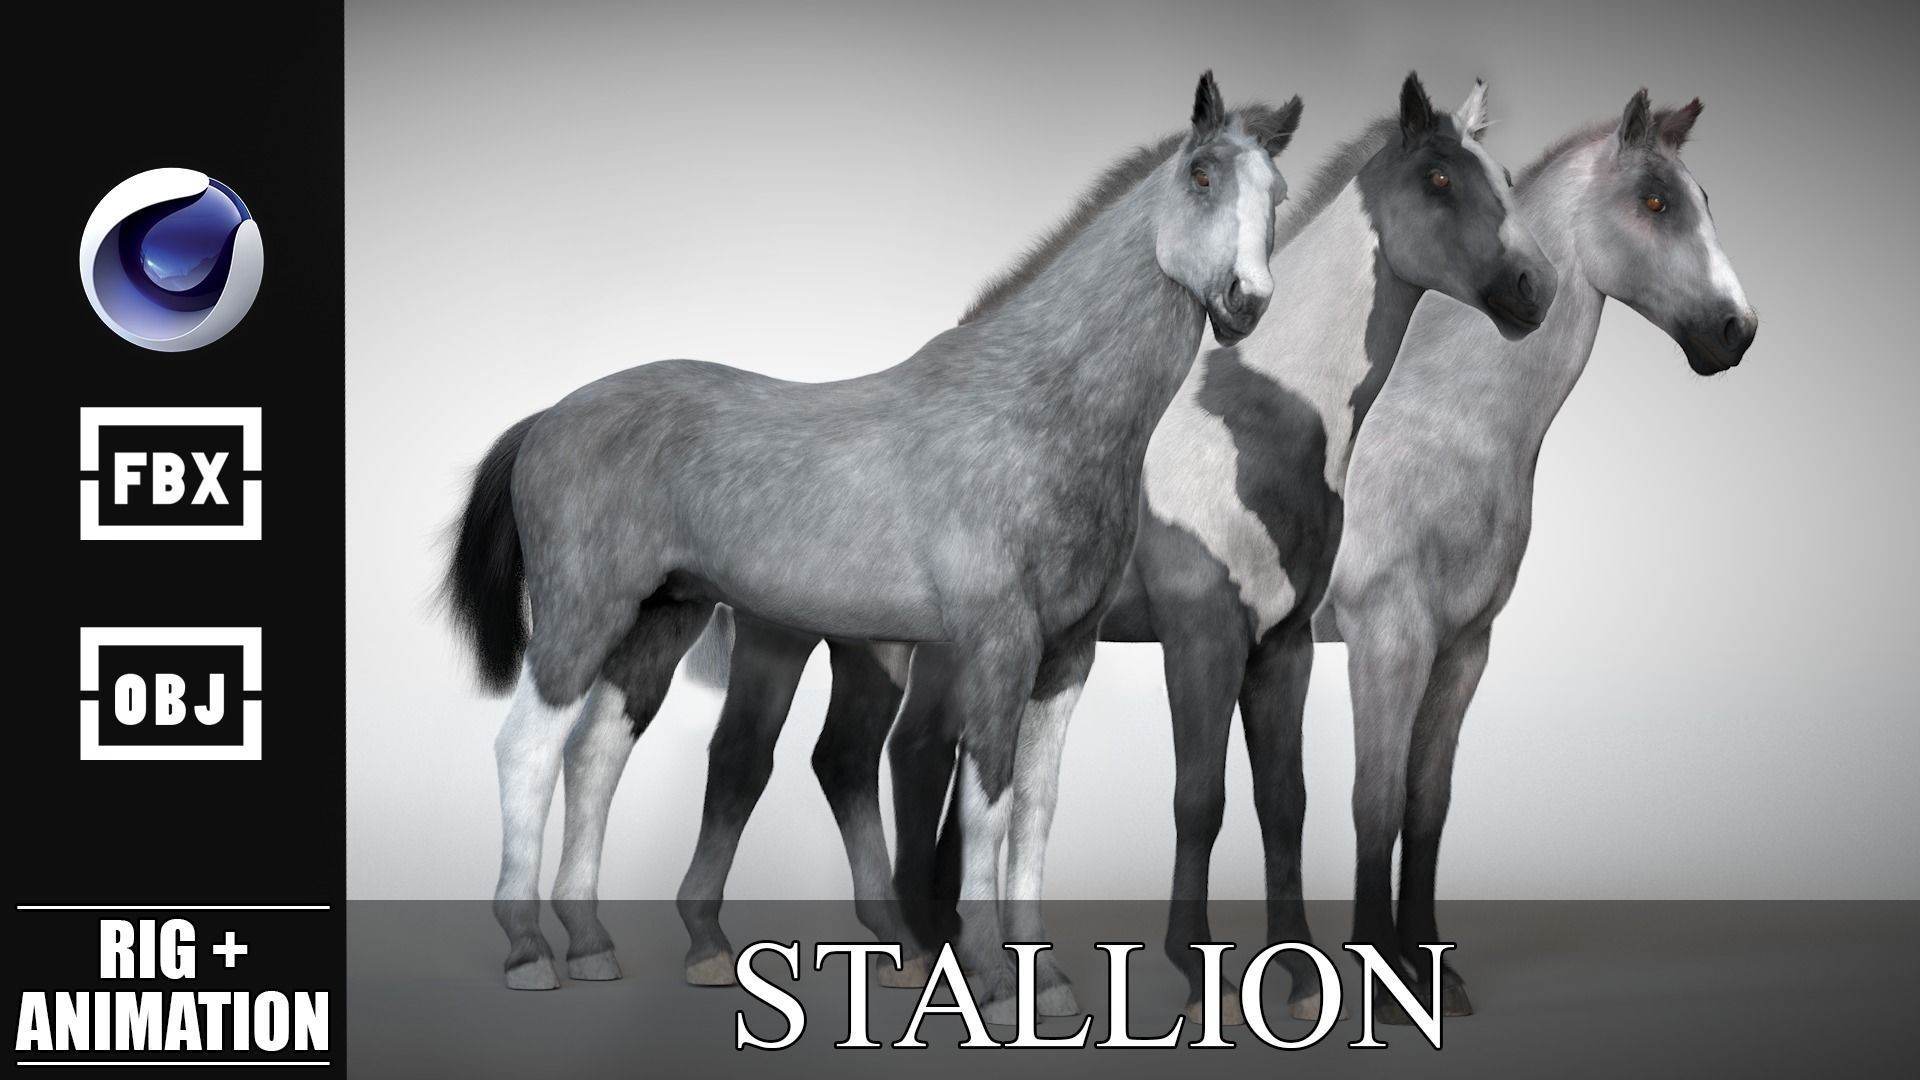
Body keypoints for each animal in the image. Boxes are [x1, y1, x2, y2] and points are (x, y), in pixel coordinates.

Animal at [442, 72, 1304, 1018]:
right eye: (1200, 177)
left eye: (1276, 195)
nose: (1247, 301)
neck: (1037, 412)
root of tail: (547, 419)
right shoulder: (997, 646)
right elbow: (986, 804)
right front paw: (994, 983)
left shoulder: (1066, 657)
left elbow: (1037, 811)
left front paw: (1047, 983)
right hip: (582, 615)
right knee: (528, 749)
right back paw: (529, 949)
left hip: (661, 621)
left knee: (597, 753)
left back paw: (595, 942)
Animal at [668, 74, 1554, 1024]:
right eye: (1438, 179)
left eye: (1502, 178)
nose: (1533, 290)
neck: (1258, 422)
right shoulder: (1201, 636)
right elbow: (1200, 799)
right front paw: (1203, 977)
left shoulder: (1281, 644)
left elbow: (1285, 801)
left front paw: (1299, 979)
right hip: (795, 639)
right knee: (768, 759)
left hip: (887, 649)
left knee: (866, 758)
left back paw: (917, 944)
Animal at [1318, 89, 1757, 1021]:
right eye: (1656, 202)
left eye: (1705, 199)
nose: (1735, 331)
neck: (1438, 426)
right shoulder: (1386, 639)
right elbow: (1375, 804)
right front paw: (1380, 984)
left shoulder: (1462, 647)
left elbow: (1427, 804)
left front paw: (1429, 969)